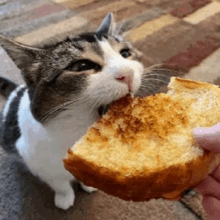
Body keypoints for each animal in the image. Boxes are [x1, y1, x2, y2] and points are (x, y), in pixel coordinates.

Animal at [0, 13, 144, 210]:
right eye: (82, 66)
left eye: (125, 54)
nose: (127, 73)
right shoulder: (37, 162)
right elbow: (60, 184)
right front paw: (65, 198)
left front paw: (88, 184)